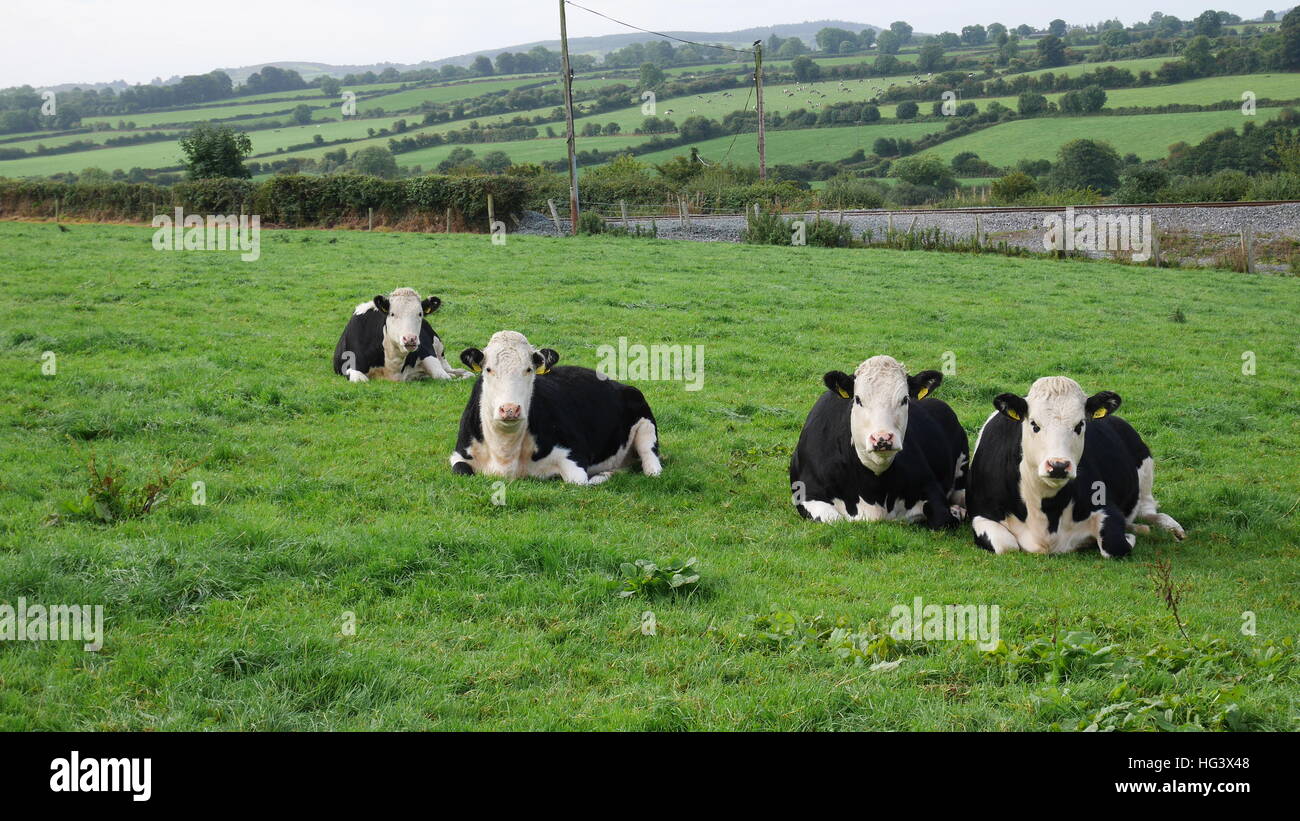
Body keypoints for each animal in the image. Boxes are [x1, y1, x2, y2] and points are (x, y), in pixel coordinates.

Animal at [332, 287, 472, 382]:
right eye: (392, 314)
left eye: (420, 314)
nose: (410, 338)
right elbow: (360, 379)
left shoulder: (428, 353)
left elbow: (442, 376)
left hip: (440, 352)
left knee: (457, 372)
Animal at [449, 331, 661, 484]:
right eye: (488, 369)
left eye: (529, 369)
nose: (510, 409)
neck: (505, 454)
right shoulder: (458, 454)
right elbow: (460, 470)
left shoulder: (575, 454)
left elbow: (579, 481)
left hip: (646, 426)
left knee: (652, 465)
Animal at [789, 355, 968, 528]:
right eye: (858, 399)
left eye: (905, 399)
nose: (882, 438)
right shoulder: (807, 492)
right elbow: (834, 519)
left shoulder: (930, 485)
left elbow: (943, 519)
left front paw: (953, 513)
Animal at [966, 376, 1185, 558]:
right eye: (1034, 424)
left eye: (1080, 425)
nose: (1058, 465)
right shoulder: (982, 513)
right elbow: (1006, 545)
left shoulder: (1107, 507)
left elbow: (1115, 544)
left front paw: (1128, 536)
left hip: (1145, 469)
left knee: (1148, 510)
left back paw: (1167, 528)